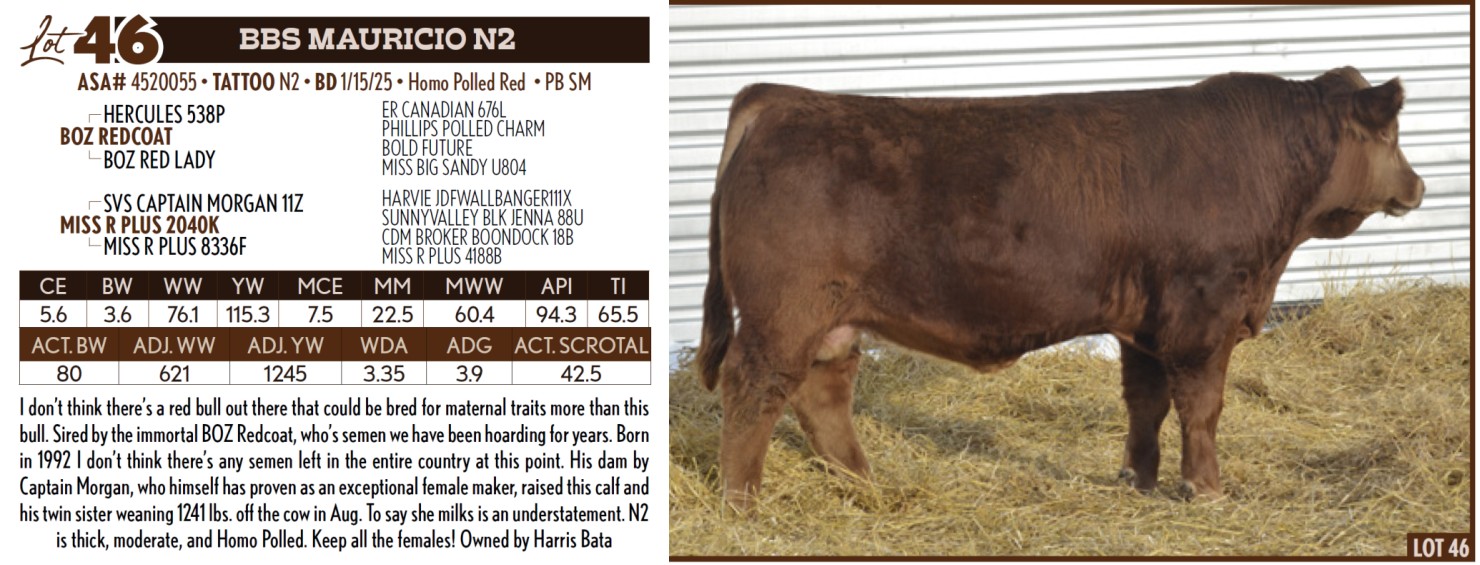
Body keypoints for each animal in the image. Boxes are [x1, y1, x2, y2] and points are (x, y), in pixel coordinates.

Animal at [696, 67, 1424, 510]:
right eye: (1391, 133)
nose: (1416, 185)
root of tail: (782, 97)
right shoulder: (1203, 315)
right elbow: (1202, 408)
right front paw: (1207, 489)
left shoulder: (1146, 323)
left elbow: (1146, 403)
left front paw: (1139, 479)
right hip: (784, 311)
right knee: (754, 388)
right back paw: (742, 503)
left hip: (830, 318)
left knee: (821, 394)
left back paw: (865, 484)